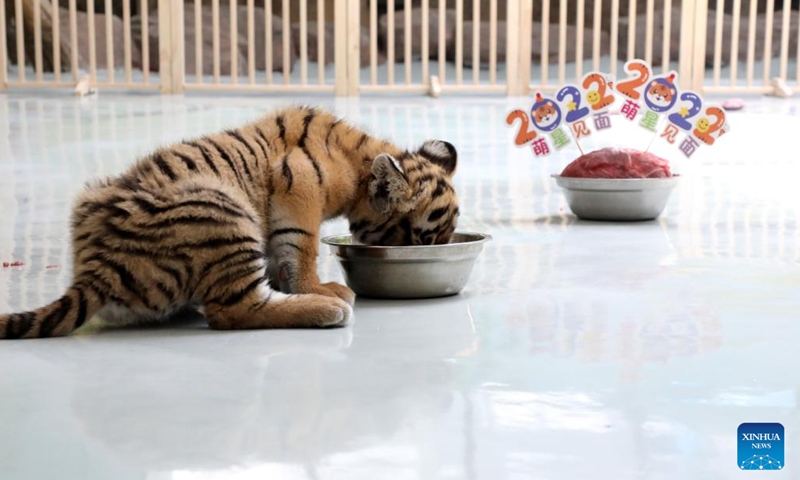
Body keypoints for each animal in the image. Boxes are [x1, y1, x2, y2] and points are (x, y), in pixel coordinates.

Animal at [0, 106, 460, 339]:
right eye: (421, 240)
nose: (432, 253)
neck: (357, 161)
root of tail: (97, 266)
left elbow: (281, 254)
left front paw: (288, 281)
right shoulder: (299, 189)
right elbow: (302, 248)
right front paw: (315, 287)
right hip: (223, 207)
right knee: (232, 311)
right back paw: (326, 307)